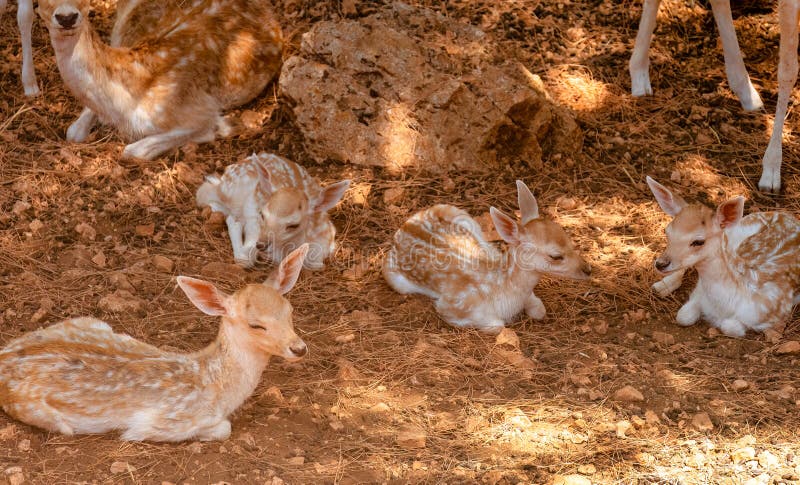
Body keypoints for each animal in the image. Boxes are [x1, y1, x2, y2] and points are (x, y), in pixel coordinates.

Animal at [0, 245, 309, 441]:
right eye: (256, 324)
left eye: (290, 310)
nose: (299, 348)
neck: (215, 388)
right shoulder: (163, 422)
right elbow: (223, 429)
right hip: (40, 413)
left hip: (89, 321)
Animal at [197, 153, 351, 270]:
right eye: (262, 214)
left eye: (294, 225)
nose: (261, 244)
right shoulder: (254, 222)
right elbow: (245, 259)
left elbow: (316, 264)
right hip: (232, 191)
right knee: (209, 195)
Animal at [383, 180, 592, 334]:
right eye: (555, 256)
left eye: (568, 238)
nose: (588, 269)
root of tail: (406, 225)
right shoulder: (451, 305)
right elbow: (497, 326)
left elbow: (539, 309)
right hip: (392, 276)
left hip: (460, 214)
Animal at [647, 177, 800, 337]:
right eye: (667, 231)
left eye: (698, 241)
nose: (661, 263)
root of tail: (787, 215)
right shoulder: (699, 291)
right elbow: (683, 316)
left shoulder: (777, 311)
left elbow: (728, 326)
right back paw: (661, 286)